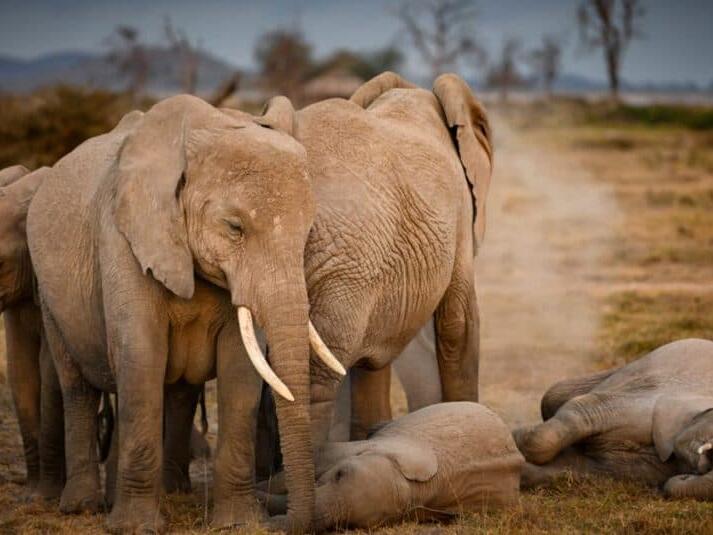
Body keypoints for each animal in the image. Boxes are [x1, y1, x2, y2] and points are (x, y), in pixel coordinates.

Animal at [26, 95, 341, 531]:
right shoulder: (123, 236)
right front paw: (136, 527)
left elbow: (240, 367)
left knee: (171, 391)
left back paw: (170, 491)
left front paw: (237, 523)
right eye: (235, 227)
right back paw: (83, 506)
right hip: (49, 294)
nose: (281, 520)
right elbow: (141, 354)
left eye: (309, 231)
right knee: (78, 387)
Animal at [515, 338, 713, 499]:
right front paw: (515, 435)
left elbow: (580, 468)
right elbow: (584, 409)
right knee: (553, 395)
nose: (685, 476)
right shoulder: (651, 402)